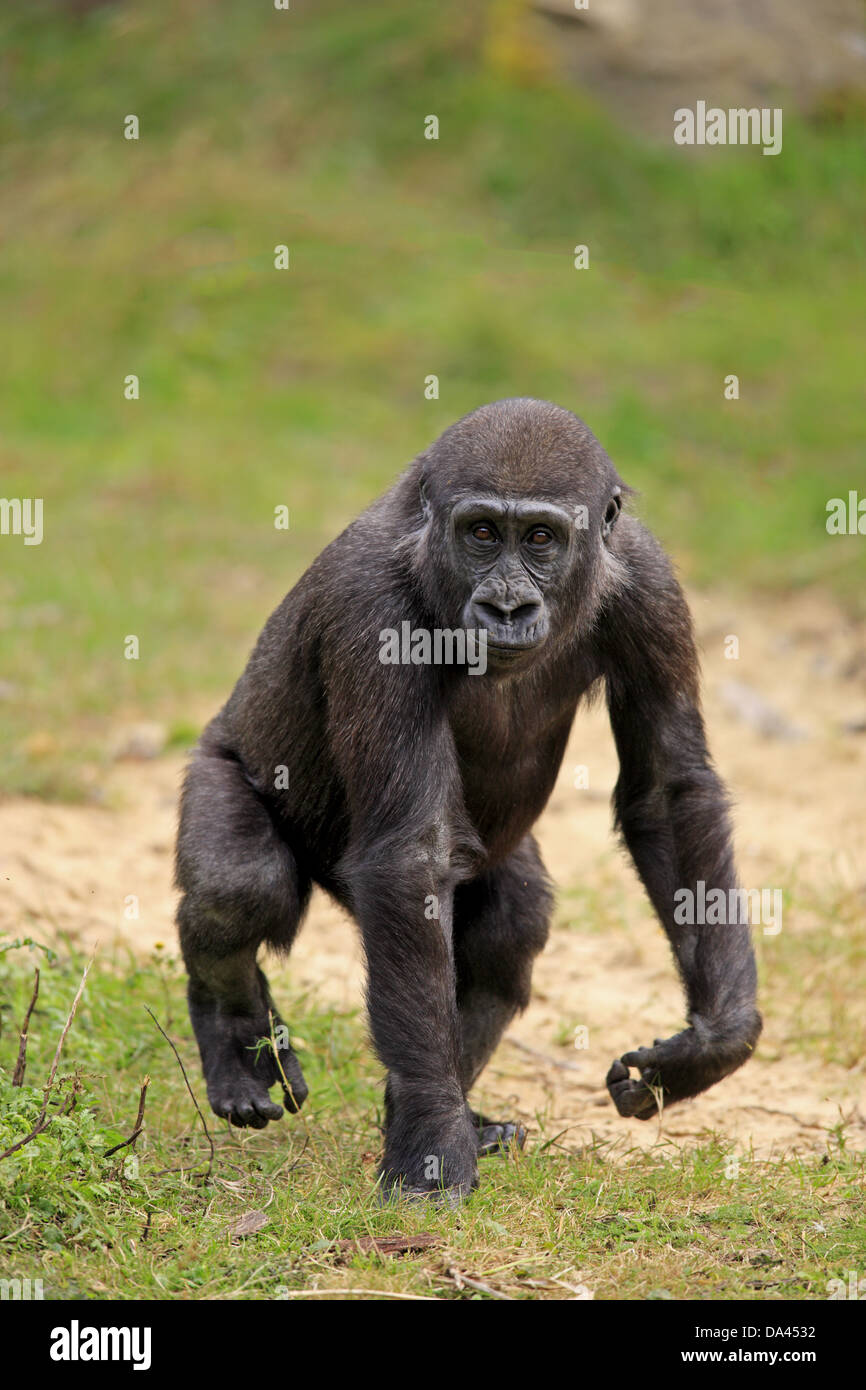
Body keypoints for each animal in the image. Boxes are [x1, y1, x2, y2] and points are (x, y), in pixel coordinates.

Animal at [175, 397, 761, 1203]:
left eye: (541, 538)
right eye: (482, 533)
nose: (507, 604)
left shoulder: (649, 581)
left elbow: (670, 789)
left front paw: (709, 1045)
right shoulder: (372, 606)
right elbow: (411, 854)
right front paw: (432, 1138)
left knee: (508, 930)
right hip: (218, 762)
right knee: (240, 885)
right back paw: (234, 1037)